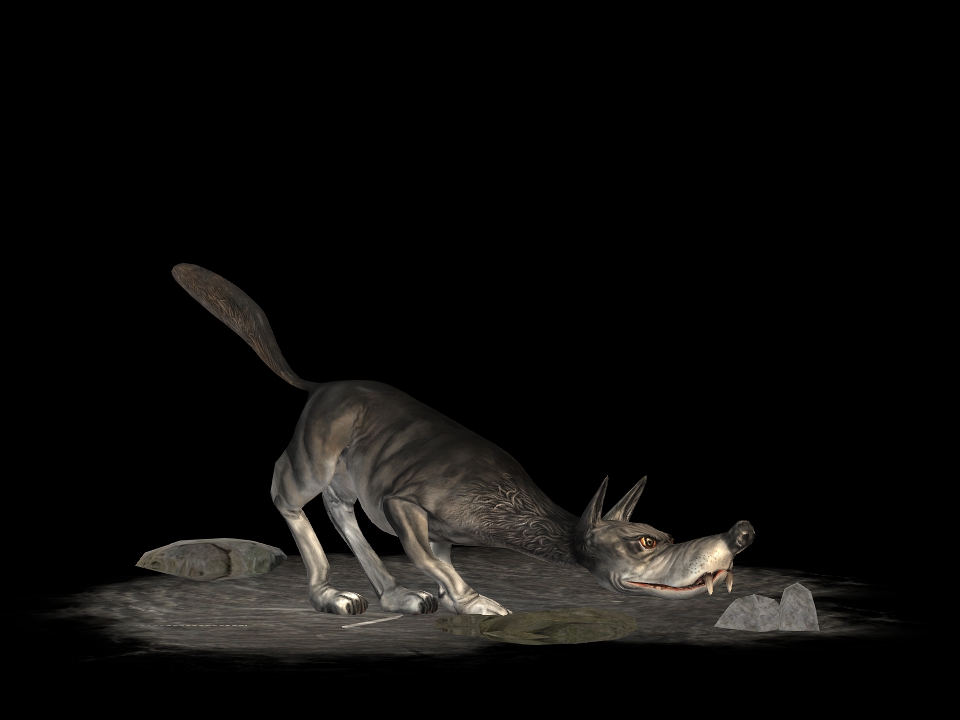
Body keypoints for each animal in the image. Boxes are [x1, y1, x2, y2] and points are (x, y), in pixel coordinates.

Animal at [171, 263, 755, 616]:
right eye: (644, 544)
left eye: (661, 532)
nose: (741, 533)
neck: (511, 503)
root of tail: (321, 385)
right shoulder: (405, 503)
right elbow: (431, 558)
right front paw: (473, 601)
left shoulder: (442, 528)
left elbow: (440, 556)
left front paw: (449, 596)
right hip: (317, 452)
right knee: (285, 488)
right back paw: (330, 593)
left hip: (346, 469)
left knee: (339, 507)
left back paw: (396, 595)